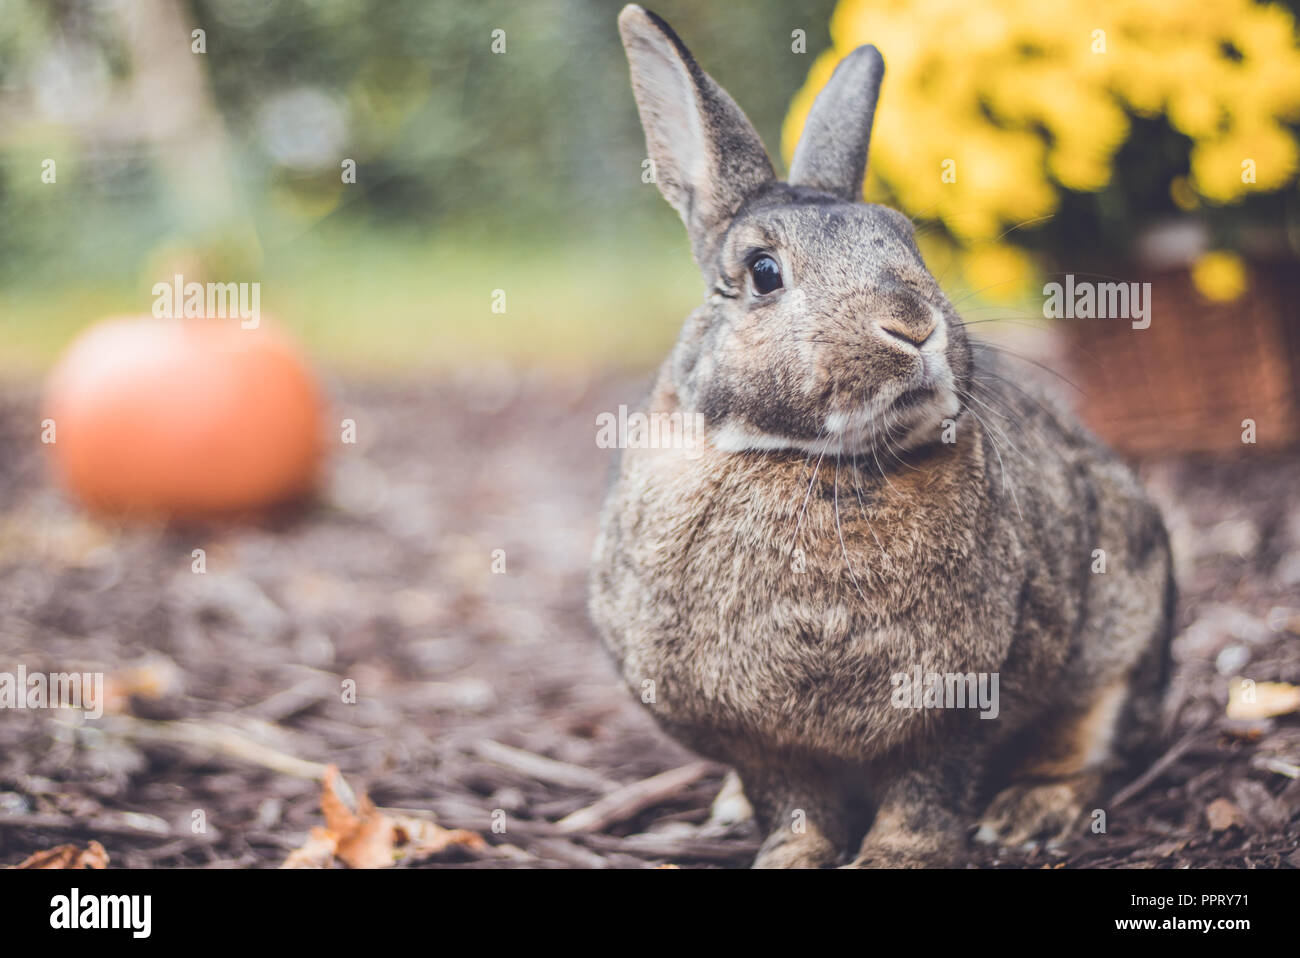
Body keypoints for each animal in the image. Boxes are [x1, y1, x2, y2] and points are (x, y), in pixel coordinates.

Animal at [589, 4, 1176, 868]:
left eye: (908, 243)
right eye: (763, 272)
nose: (914, 324)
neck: (818, 462)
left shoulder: (960, 702)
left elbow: (925, 791)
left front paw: (897, 857)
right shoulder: (754, 739)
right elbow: (791, 802)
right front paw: (788, 857)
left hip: (1124, 631)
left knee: (1093, 744)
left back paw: (1029, 814)